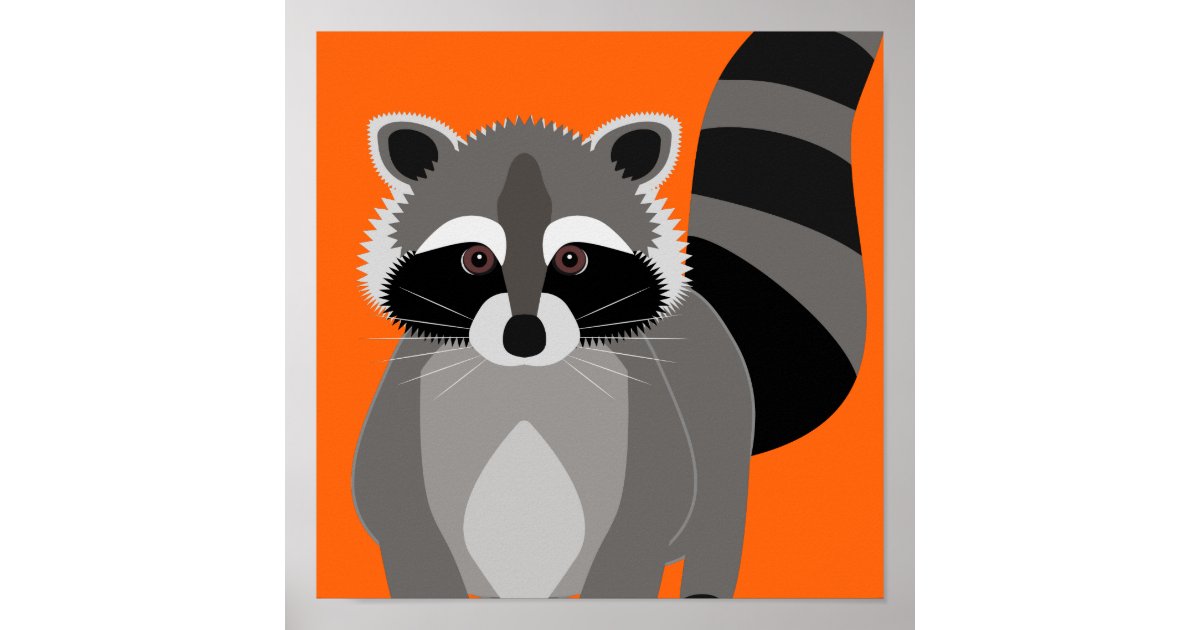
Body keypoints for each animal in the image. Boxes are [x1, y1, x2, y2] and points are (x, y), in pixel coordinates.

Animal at [351, 32, 880, 598]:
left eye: (572, 260)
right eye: (476, 259)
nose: (524, 336)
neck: (525, 380)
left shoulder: (642, 418)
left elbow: (638, 537)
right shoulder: (410, 408)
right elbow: (405, 529)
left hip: (724, 419)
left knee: (717, 515)